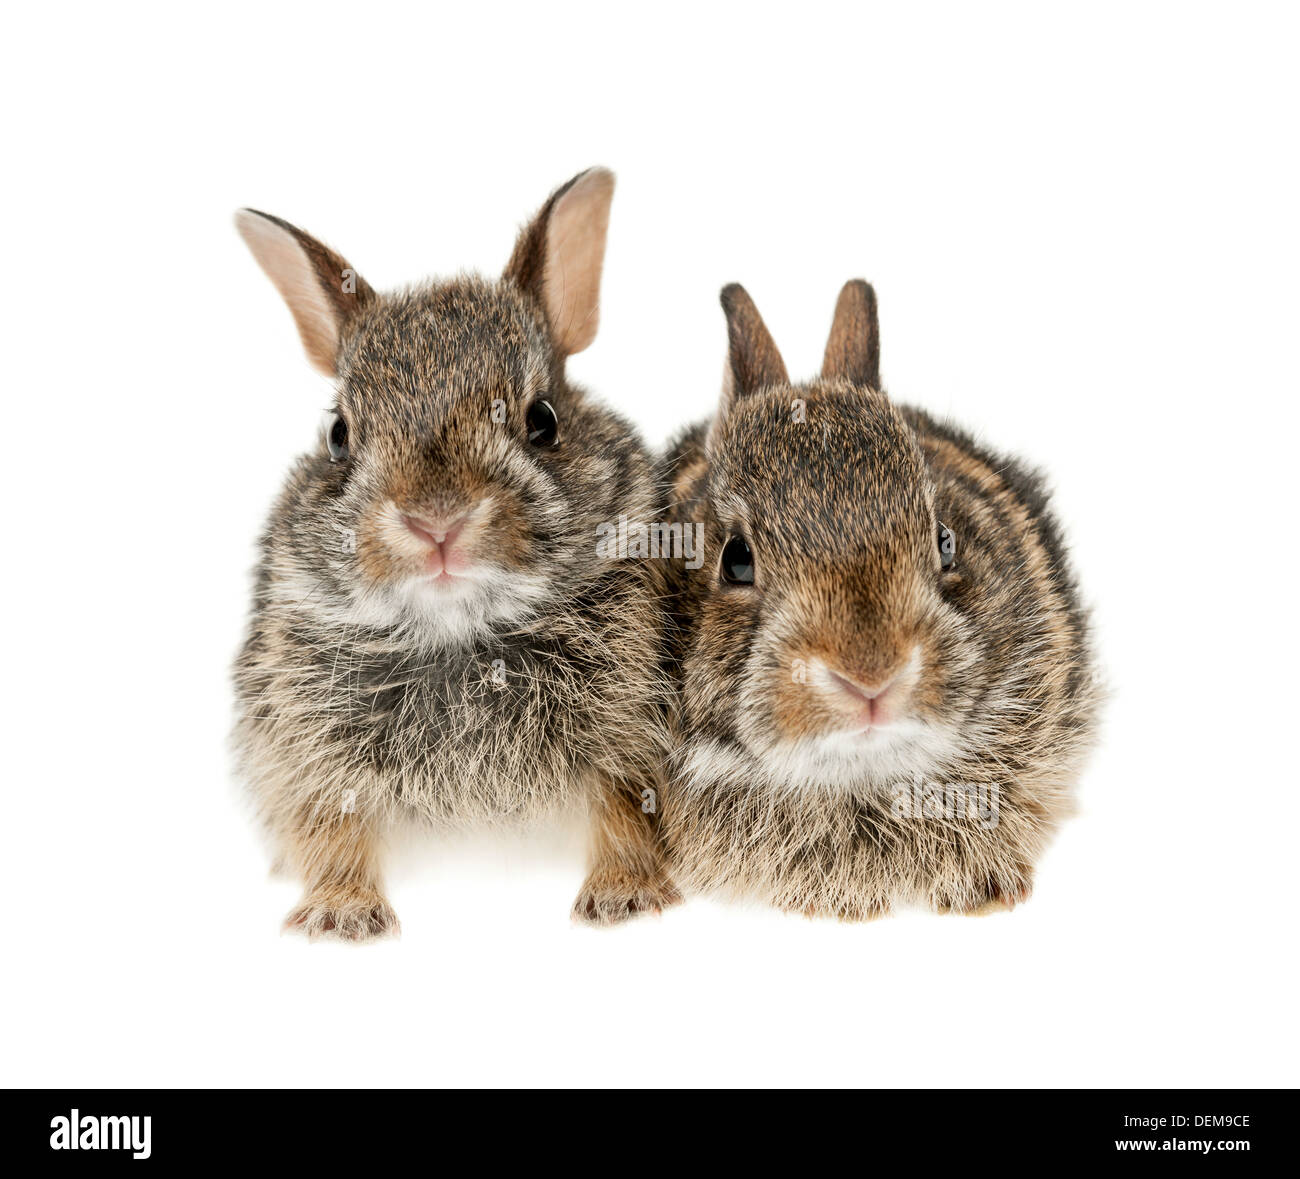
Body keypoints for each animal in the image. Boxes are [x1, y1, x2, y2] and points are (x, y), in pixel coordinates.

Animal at [231, 168, 679, 939]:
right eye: (339, 435)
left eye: (542, 421)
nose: (435, 521)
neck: (458, 631)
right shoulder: (307, 757)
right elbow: (333, 833)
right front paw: (340, 913)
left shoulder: (631, 746)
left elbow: (624, 816)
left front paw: (622, 898)